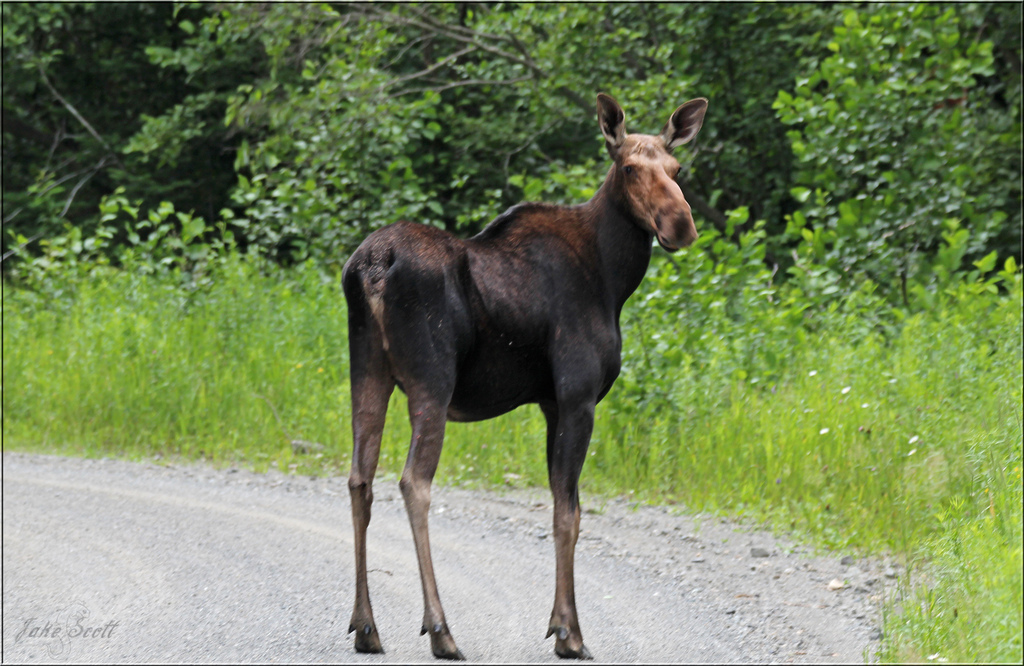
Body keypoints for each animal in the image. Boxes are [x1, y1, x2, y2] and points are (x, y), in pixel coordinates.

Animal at [341, 92, 708, 660]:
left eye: (676, 168)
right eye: (628, 168)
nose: (679, 224)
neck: (614, 276)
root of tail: (371, 268)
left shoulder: (550, 403)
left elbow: (561, 504)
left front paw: (559, 623)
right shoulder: (577, 396)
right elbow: (569, 513)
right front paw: (570, 633)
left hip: (367, 371)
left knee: (360, 478)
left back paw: (365, 626)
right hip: (431, 382)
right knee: (413, 482)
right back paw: (441, 630)